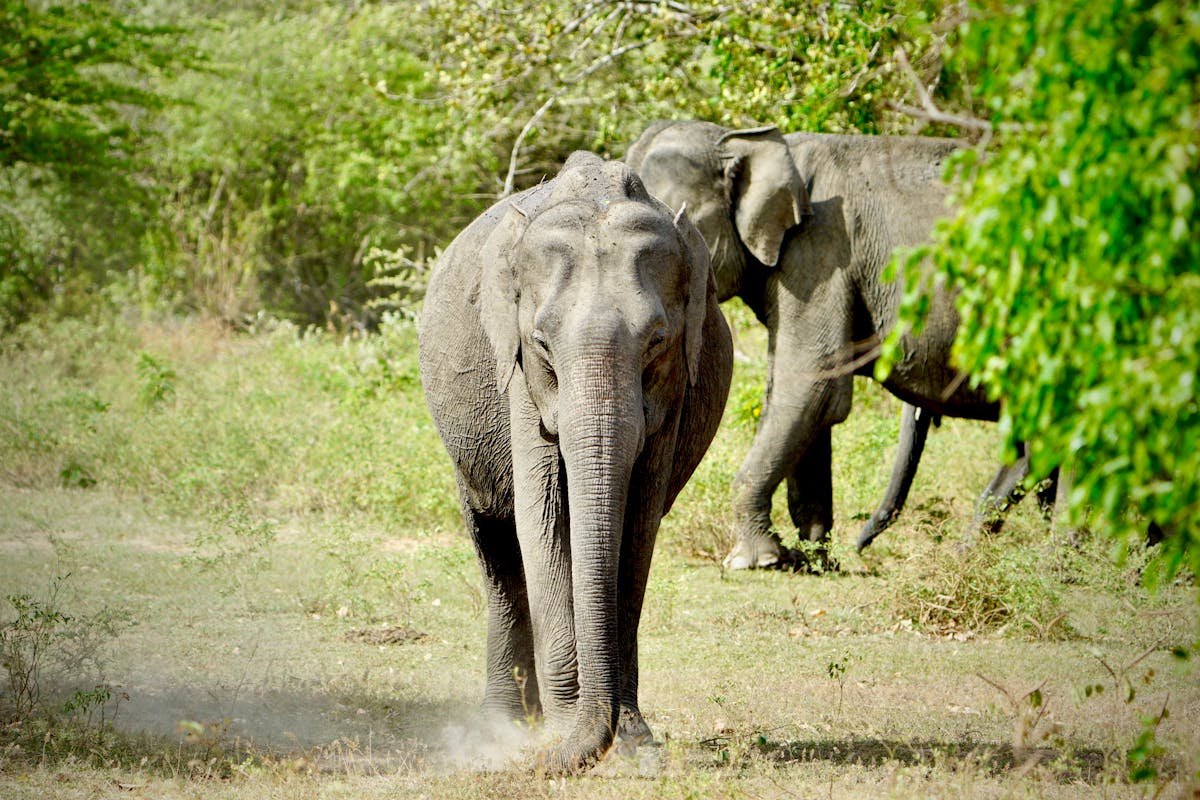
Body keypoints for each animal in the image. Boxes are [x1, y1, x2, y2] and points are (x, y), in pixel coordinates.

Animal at [418, 151, 733, 772]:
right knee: (496, 545)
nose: (597, 740)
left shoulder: (673, 392)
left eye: (657, 342)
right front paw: (564, 734)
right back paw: (509, 727)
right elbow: (541, 520)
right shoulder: (517, 373)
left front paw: (635, 740)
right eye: (542, 343)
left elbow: (638, 526)